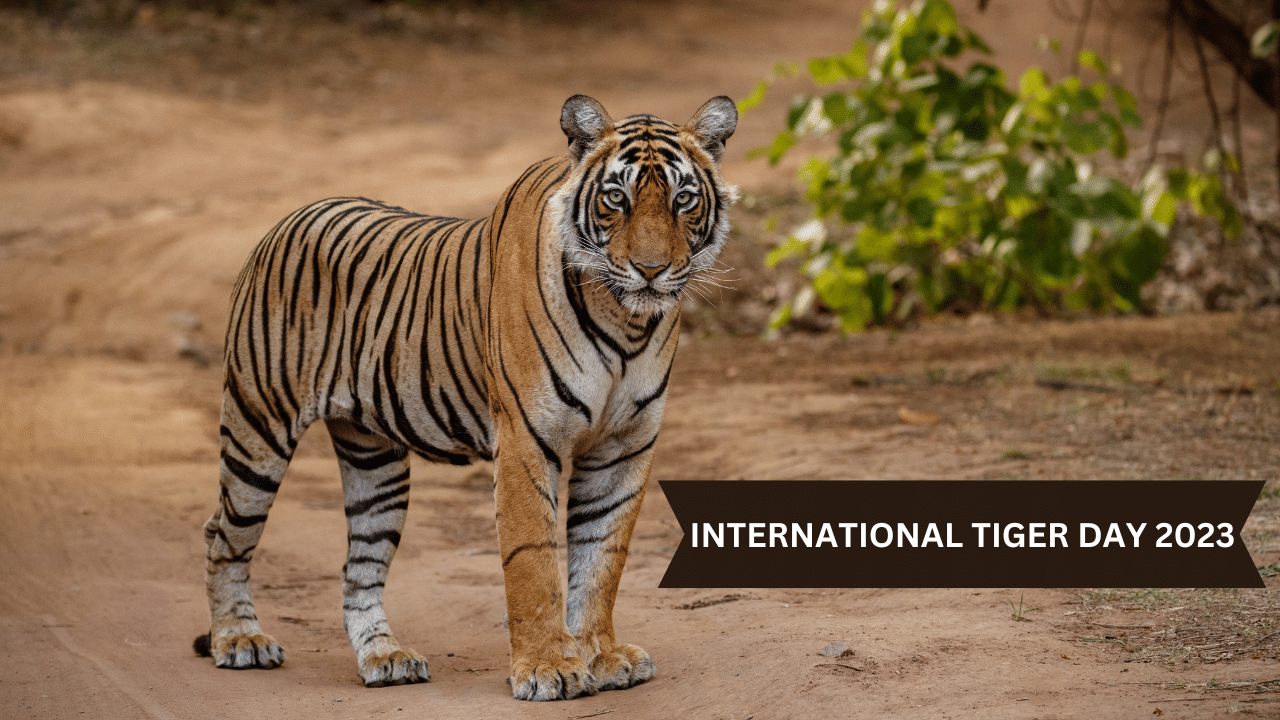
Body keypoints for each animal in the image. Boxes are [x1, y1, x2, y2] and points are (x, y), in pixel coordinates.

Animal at [195, 94, 737, 701]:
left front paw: (601, 655)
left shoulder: (623, 448)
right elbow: (533, 559)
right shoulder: (528, 440)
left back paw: (385, 657)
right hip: (257, 427)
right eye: (615, 198)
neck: (626, 323)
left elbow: (602, 558)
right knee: (223, 534)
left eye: (683, 199)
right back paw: (239, 640)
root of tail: (287, 220)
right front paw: (548, 668)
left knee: (359, 569)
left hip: (375, 464)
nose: (650, 270)